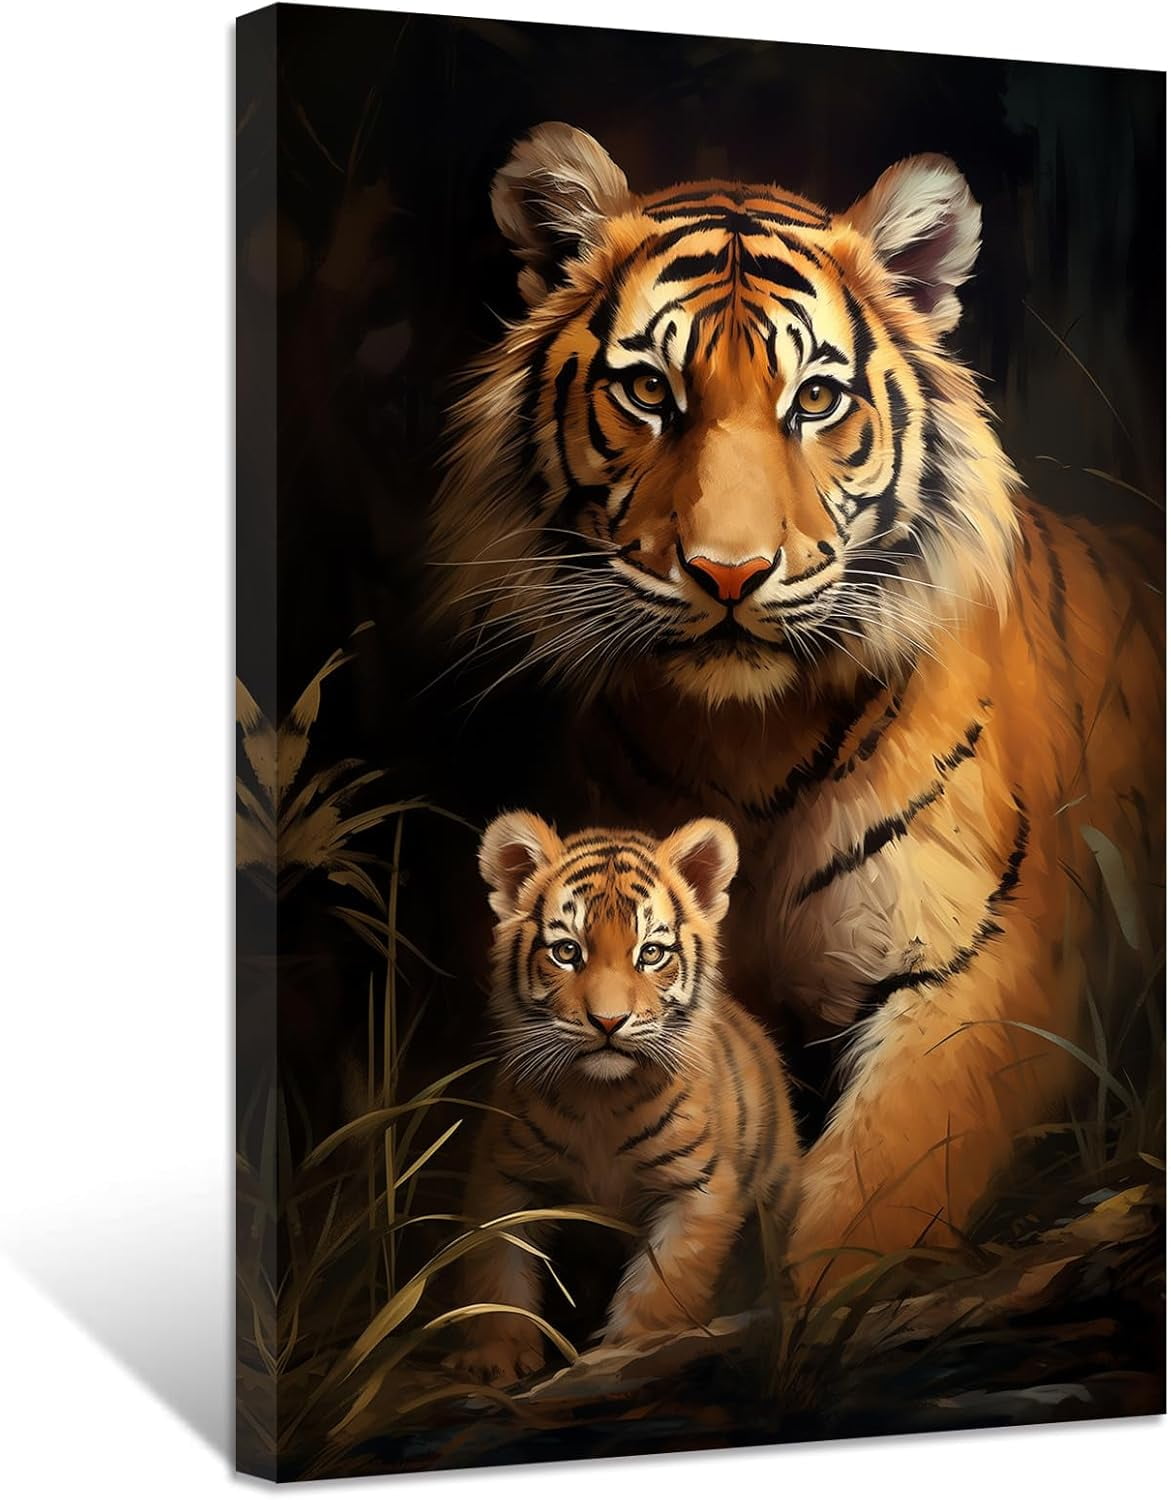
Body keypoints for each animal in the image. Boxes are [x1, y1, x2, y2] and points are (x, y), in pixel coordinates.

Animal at [428, 124, 1164, 1298]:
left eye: (814, 401)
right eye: (650, 391)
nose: (729, 573)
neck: (745, 745)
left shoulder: (980, 971)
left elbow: (866, 1204)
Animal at [449, 812, 800, 1386]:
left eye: (651, 953)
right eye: (567, 951)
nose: (609, 1022)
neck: (600, 1099)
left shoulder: (697, 1189)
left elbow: (663, 1284)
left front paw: (631, 1352)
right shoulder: (505, 1177)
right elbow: (497, 1268)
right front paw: (497, 1355)